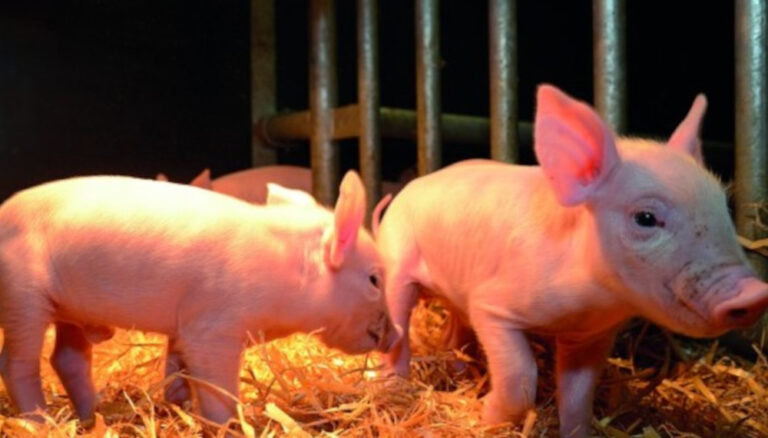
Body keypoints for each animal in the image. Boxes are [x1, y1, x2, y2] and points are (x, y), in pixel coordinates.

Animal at [0, 170, 398, 425]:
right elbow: (218, 389)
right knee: (17, 363)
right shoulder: (214, 327)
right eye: (374, 279)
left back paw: (92, 415)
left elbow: (179, 367)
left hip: (68, 309)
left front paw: (178, 403)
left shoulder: (186, 322)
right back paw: (41, 423)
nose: (395, 336)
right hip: (23, 296)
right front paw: (227, 425)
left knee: (67, 358)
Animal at [376, 84, 768, 438]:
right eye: (646, 218)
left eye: (723, 208)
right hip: (395, 260)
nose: (755, 294)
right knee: (398, 326)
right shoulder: (493, 307)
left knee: (453, 333)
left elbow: (579, 397)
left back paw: (458, 371)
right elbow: (520, 376)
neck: (590, 300)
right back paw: (395, 383)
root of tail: (412, 185)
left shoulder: (591, 335)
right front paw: (483, 417)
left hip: (455, 295)